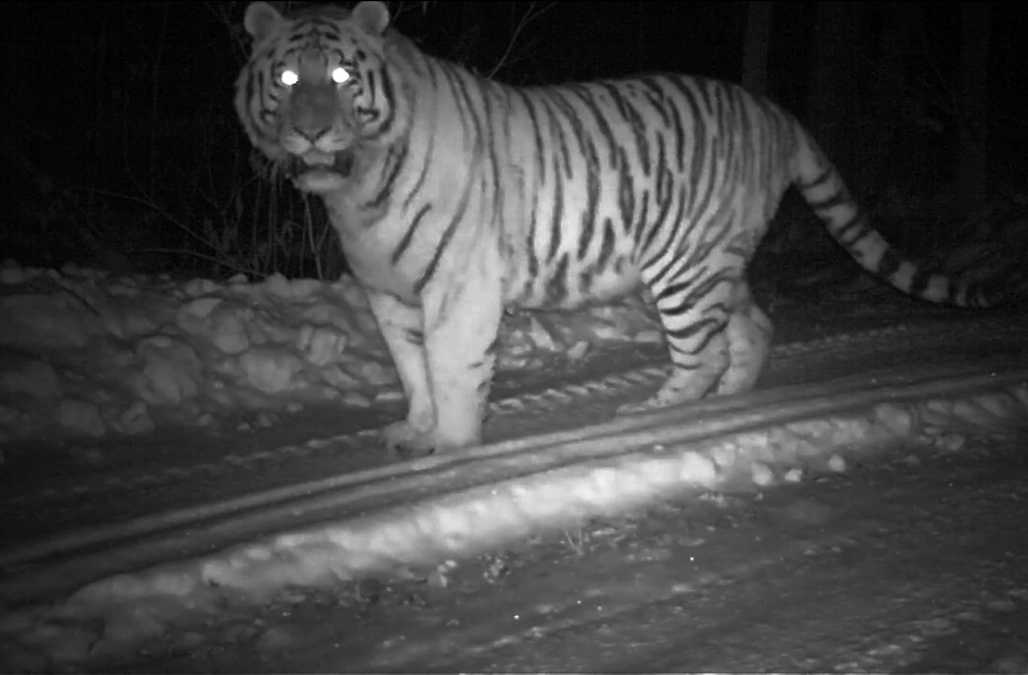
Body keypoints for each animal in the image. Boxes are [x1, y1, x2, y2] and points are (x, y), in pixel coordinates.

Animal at [235, 1, 998, 457]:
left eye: (341, 75)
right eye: (286, 77)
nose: (311, 132)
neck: (356, 190)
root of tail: (775, 110)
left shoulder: (459, 285)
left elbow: (451, 369)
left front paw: (452, 446)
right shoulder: (388, 291)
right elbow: (411, 368)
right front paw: (414, 431)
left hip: (684, 269)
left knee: (702, 352)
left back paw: (651, 415)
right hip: (712, 260)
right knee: (752, 327)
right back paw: (730, 403)